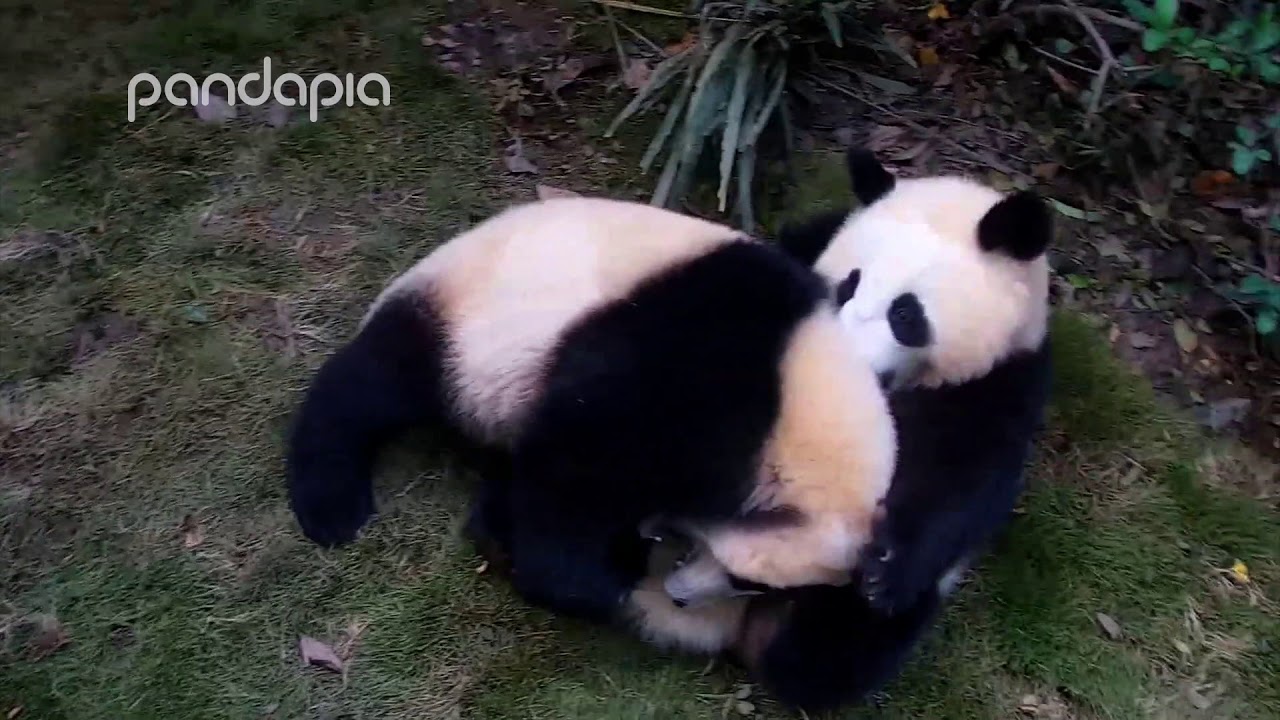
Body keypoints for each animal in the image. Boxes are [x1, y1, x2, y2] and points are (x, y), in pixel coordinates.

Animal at [285, 195, 898, 648]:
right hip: (466, 327)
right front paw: (582, 575)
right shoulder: (686, 379)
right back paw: (331, 503)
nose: (680, 595)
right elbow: (573, 473)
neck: (794, 407)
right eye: (745, 579)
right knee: (375, 384)